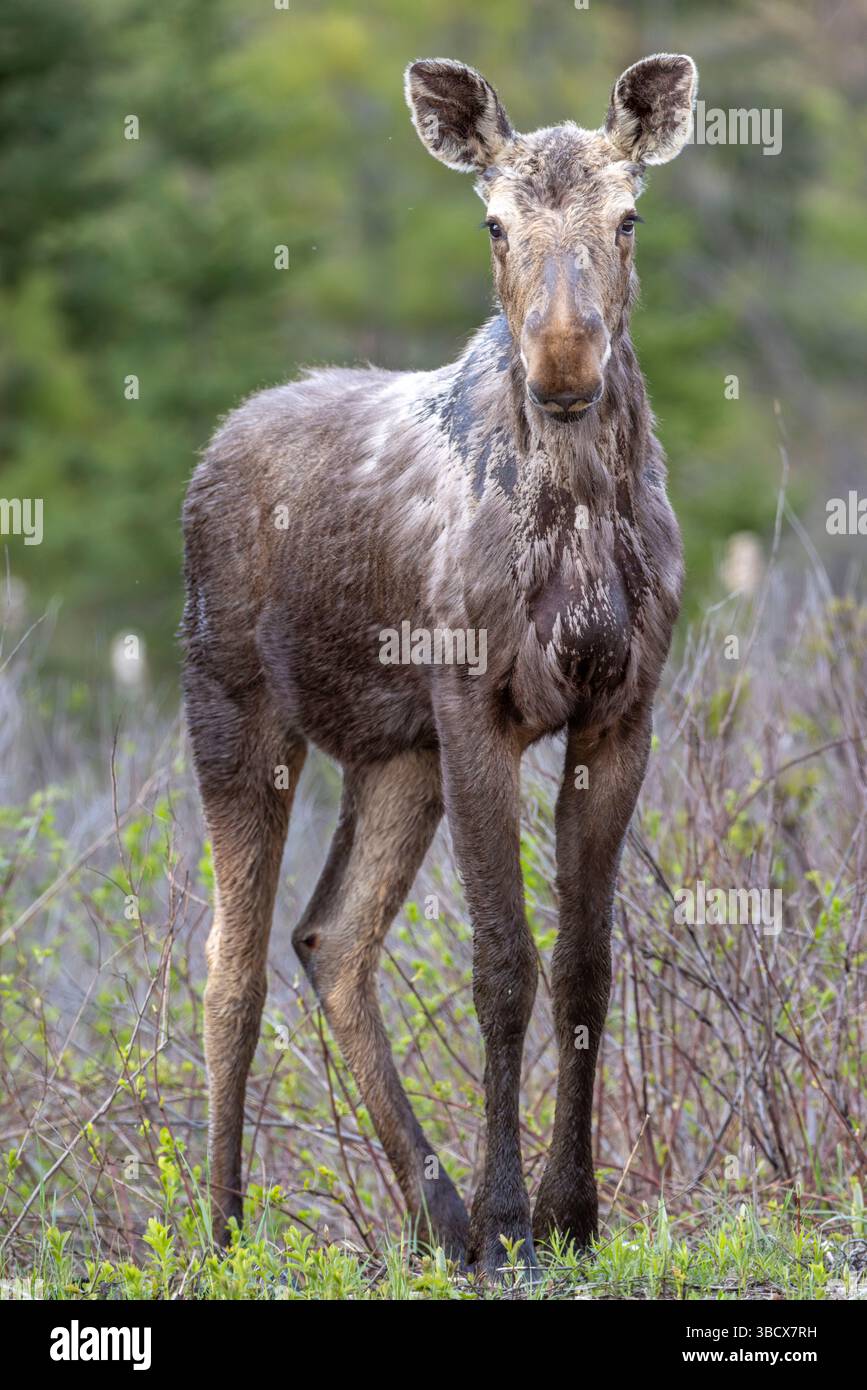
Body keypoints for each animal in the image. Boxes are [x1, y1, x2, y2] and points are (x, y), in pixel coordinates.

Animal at [182, 52, 697, 1279]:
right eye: (493, 223)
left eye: (629, 216)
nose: (563, 360)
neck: (579, 517)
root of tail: (214, 444)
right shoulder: (479, 706)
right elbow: (501, 965)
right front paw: (516, 1218)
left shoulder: (621, 710)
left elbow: (587, 966)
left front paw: (571, 1211)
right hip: (233, 708)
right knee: (230, 966)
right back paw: (227, 1230)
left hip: (391, 751)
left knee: (330, 938)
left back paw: (436, 1214)